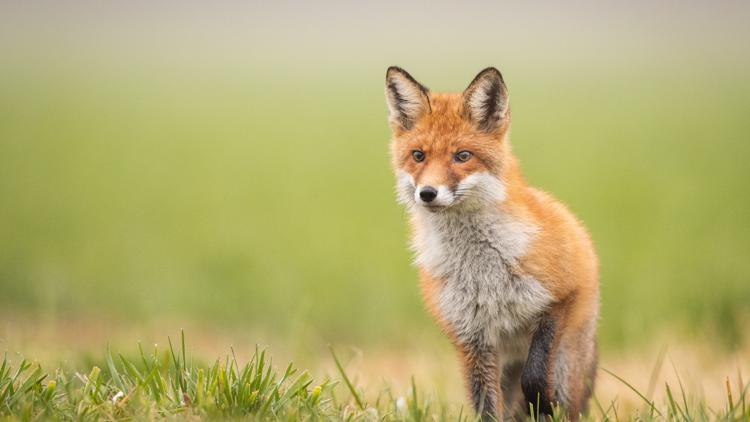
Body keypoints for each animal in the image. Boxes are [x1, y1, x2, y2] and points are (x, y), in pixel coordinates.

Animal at [385, 66, 599, 421]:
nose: (427, 193)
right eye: (418, 156)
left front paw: (544, 402)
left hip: (568, 360)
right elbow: (485, 404)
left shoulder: (560, 298)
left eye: (462, 156)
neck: (482, 270)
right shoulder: (471, 336)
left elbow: (535, 376)